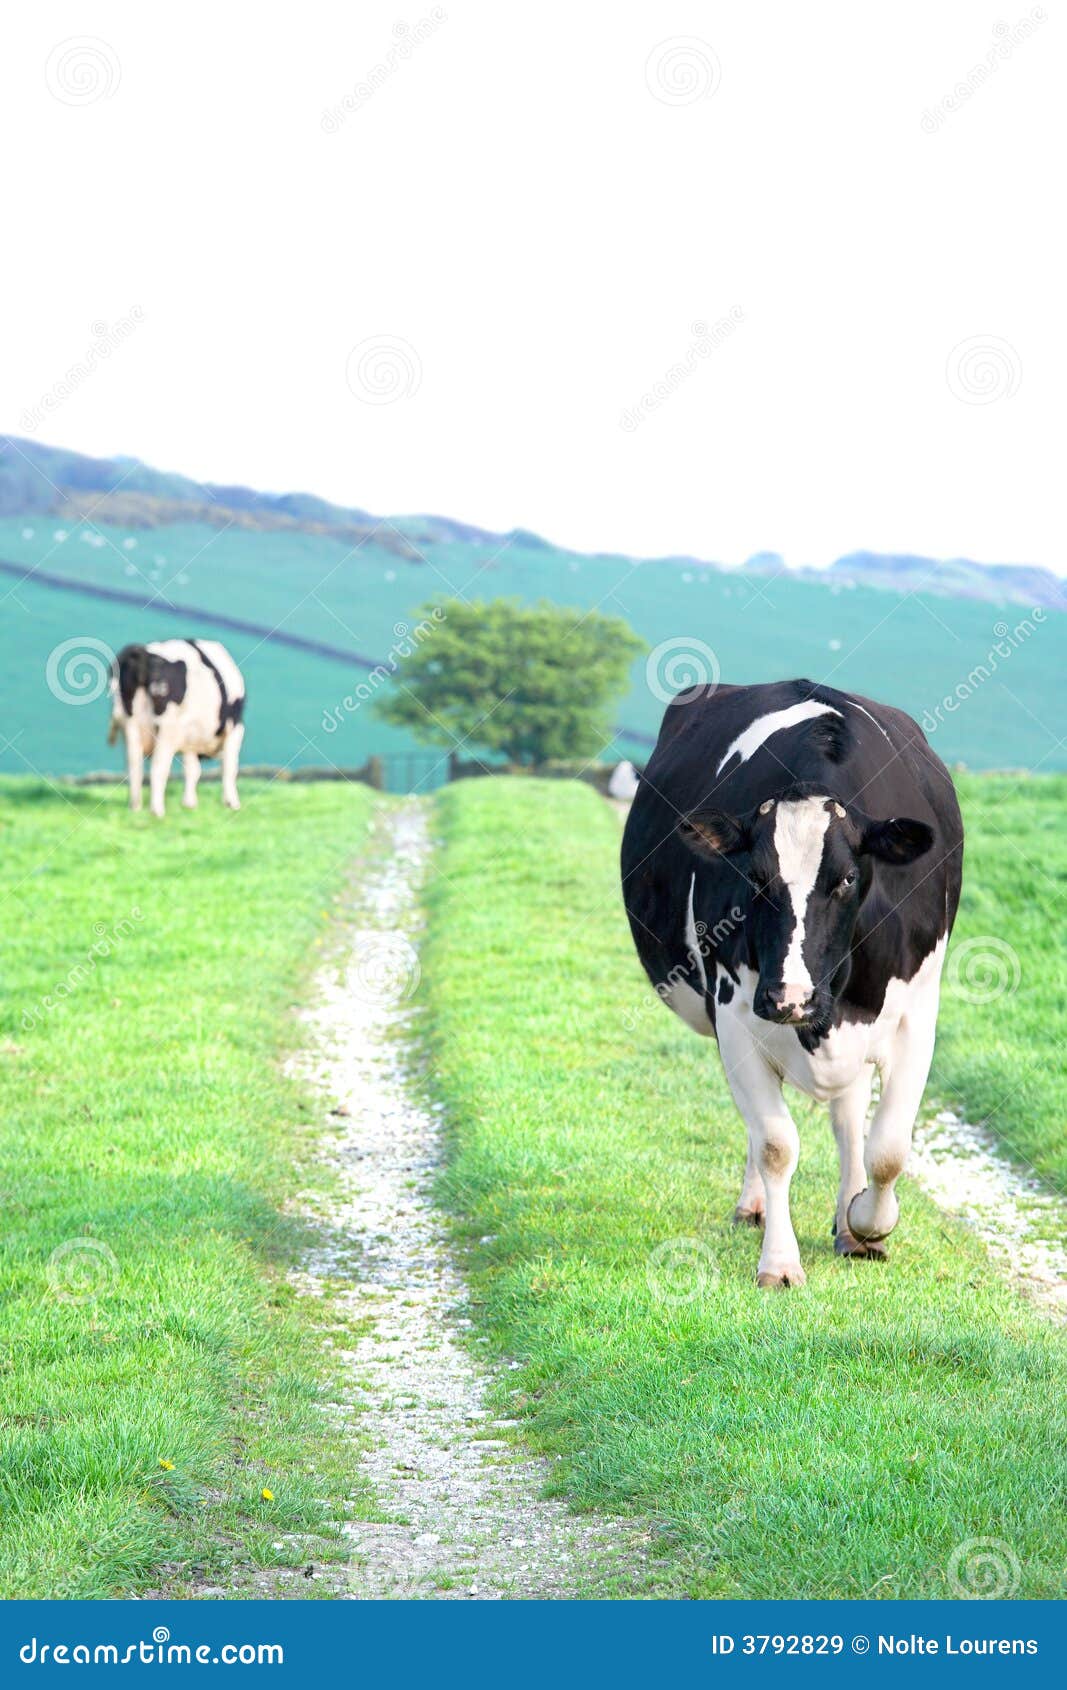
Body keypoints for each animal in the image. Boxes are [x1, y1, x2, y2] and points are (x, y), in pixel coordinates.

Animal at [107, 639, 246, 818]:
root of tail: (142, 653)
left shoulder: (189, 739)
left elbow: (193, 769)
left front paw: (189, 804)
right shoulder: (235, 727)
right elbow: (230, 767)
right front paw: (232, 804)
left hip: (131, 726)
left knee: (134, 768)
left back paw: (136, 808)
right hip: (167, 729)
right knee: (158, 768)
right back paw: (157, 812)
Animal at [621, 678, 963, 1289]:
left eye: (847, 879)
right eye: (755, 878)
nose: (790, 999)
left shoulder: (916, 1017)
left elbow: (888, 1149)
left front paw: (866, 1222)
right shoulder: (735, 1018)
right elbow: (776, 1143)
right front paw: (780, 1263)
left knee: (849, 1121)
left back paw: (850, 1222)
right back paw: (757, 1206)